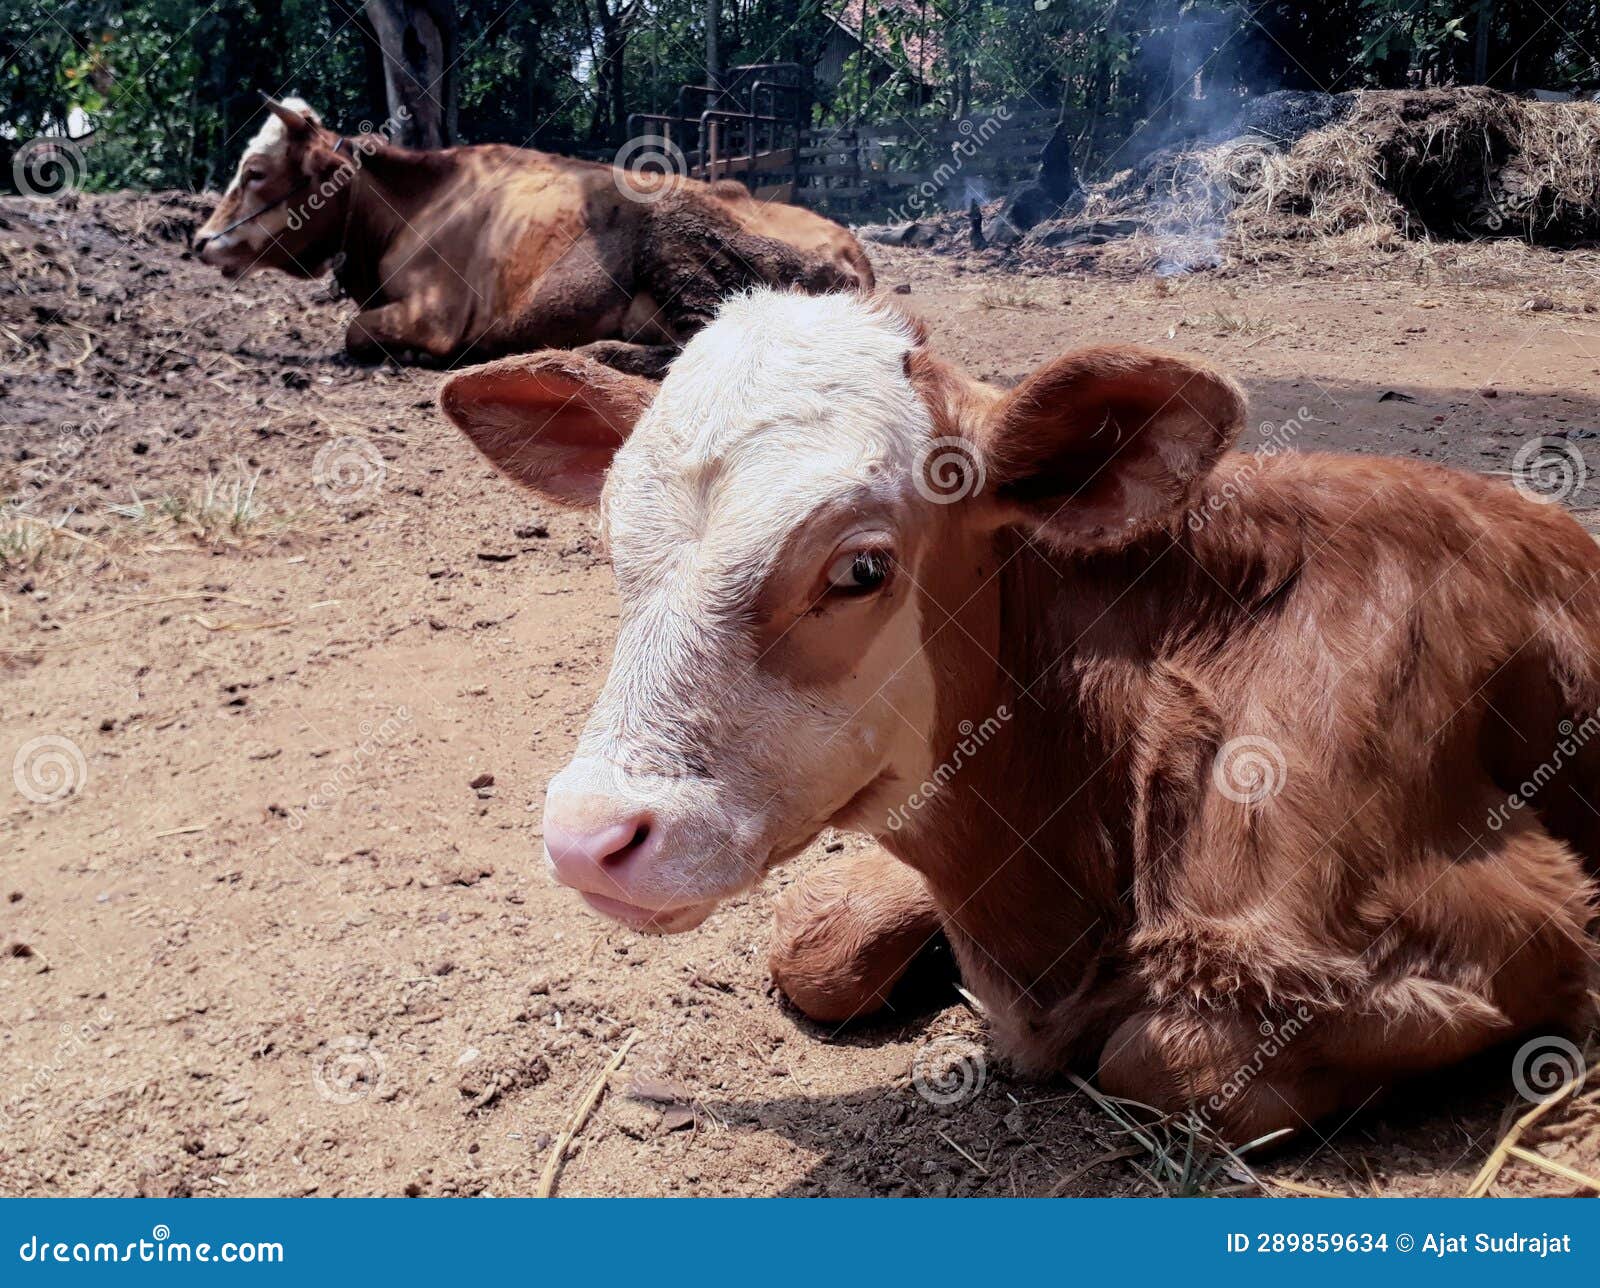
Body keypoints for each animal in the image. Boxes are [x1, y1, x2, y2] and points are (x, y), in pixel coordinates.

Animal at [191, 99, 873, 375]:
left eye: (256, 172)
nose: (201, 240)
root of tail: (853, 254)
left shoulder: (435, 315)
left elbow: (356, 332)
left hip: (672, 237)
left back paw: (598, 354)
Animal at [438, 287, 1600, 1141]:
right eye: (612, 544)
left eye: (861, 568)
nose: (588, 836)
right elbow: (815, 941)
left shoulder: (1501, 920)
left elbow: (1163, 1061)